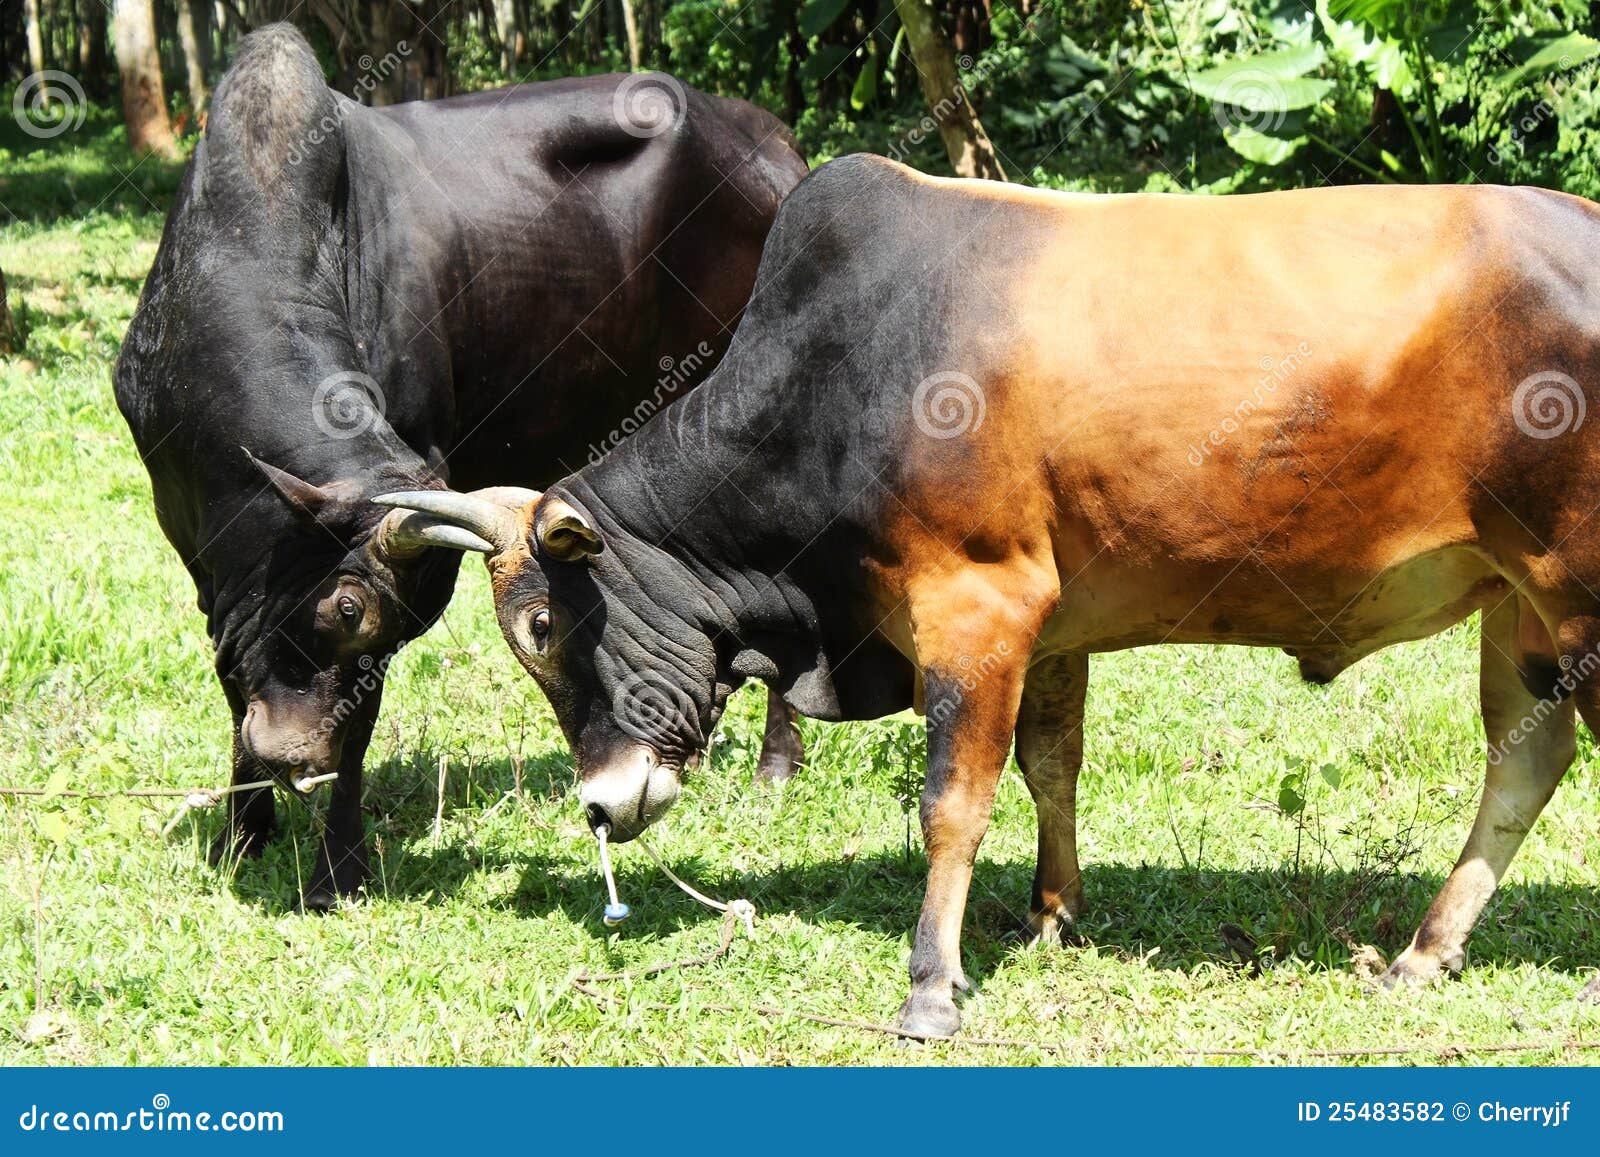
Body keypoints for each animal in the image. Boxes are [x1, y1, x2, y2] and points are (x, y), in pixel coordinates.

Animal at [113, 24, 809, 909]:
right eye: (344, 607)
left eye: (367, 621)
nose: (295, 759)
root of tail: (770, 139)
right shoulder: (205, 558)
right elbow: (234, 678)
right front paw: (244, 835)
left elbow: (358, 721)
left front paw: (337, 866)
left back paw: (776, 763)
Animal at [375, 153, 1600, 1035]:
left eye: (542, 626)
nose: (598, 803)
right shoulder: (1052, 622)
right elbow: (1051, 762)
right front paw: (1054, 913)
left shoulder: (978, 606)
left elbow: (951, 803)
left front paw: (931, 983)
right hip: (1517, 604)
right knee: (1526, 758)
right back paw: (1425, 950)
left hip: (1573, 586)